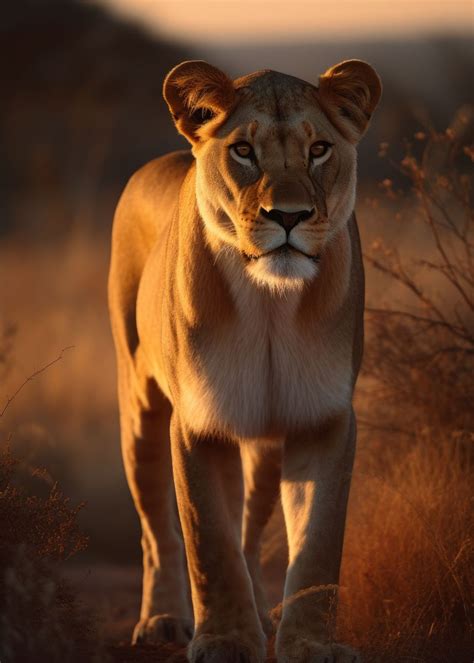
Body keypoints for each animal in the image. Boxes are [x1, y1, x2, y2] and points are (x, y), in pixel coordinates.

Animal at [108, 59, 381, 662]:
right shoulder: (198, 423)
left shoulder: (323, 420)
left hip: (264, 443)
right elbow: (208, 540)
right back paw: (162, 619)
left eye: (319, 149)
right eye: (243, 151)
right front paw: (226, 640)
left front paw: (309, 643)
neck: (270, 304)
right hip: (139, 407)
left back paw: (260, 609)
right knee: (156, 529)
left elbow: (316, 546)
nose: (289, 216)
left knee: (250, 530)